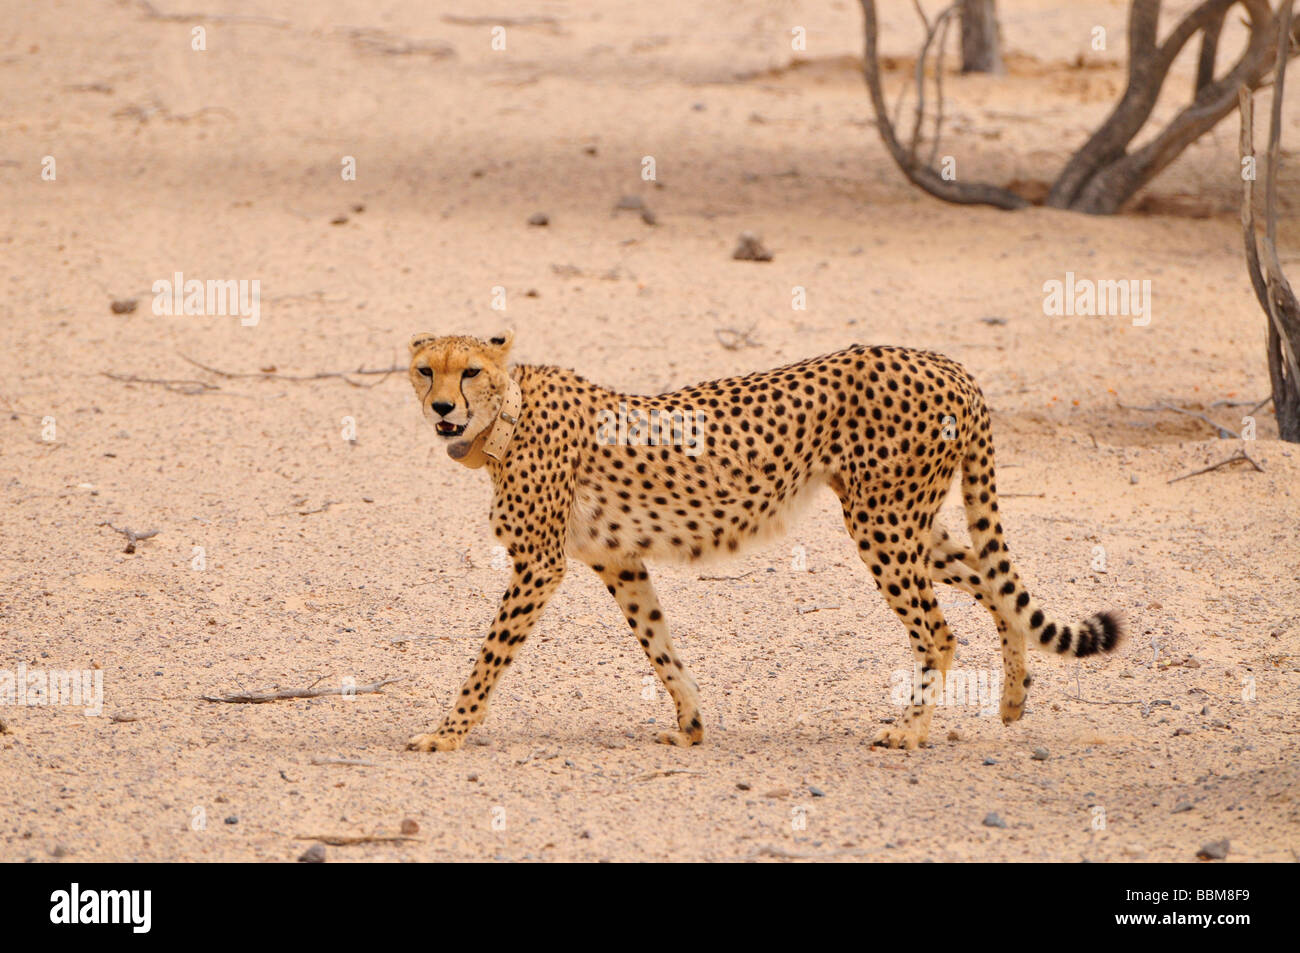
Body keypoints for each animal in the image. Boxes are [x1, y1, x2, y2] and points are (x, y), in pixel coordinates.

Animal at [404, 331, 1123, 752]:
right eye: (424, 370)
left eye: (469, 371)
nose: (442, 408)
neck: (506, 414)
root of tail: (946, 363)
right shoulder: (619, 560)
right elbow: (659, 645)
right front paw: (691, 724)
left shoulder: (539, 564)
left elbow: (488, 657)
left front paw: (446, 732)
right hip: (912, 524)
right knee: (992, 582)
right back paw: (1013, 697)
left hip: (882, 523)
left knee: (940, 631)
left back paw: (910, 729)